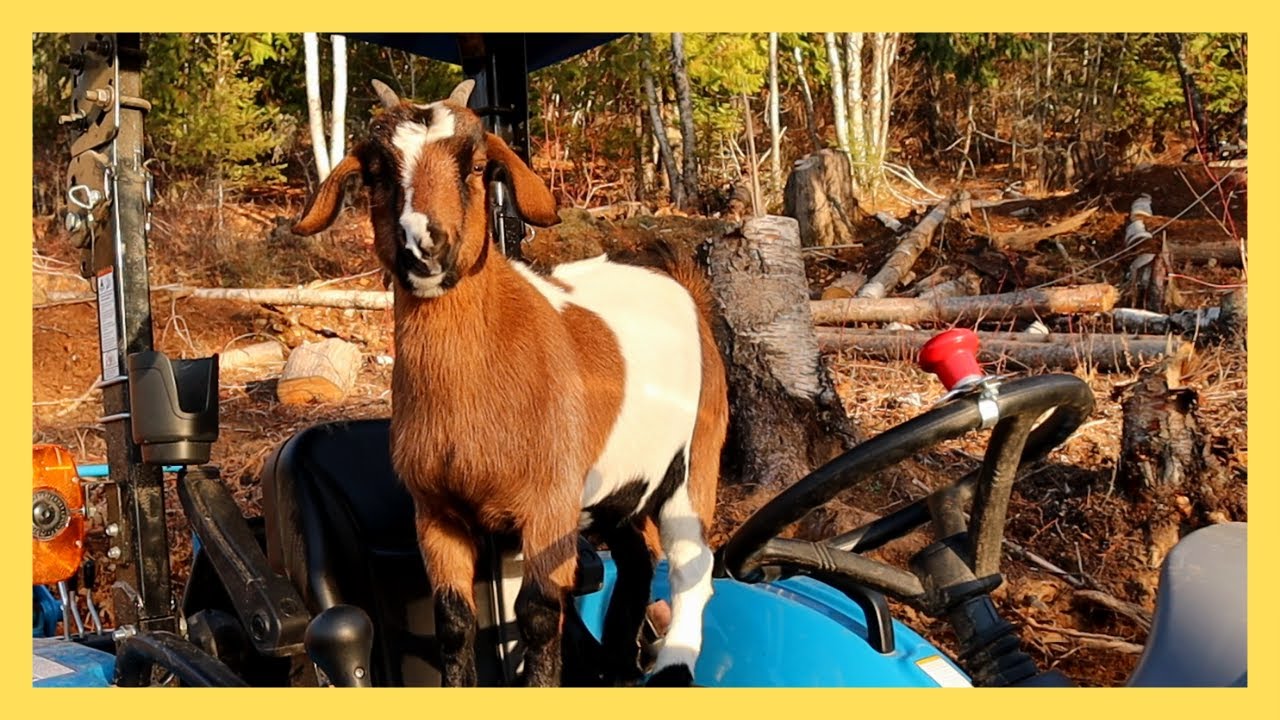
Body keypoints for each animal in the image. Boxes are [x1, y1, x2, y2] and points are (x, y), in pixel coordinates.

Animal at [292, 79, 728, 687]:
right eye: (375, 172)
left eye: (477, 166)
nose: (423, 244)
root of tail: (684, 287)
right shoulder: (437, 513)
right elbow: (454, 621)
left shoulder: (548, 505)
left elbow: (540, 615)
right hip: (622, 488)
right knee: (639, 559)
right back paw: (620, 664)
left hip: (696, 457)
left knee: (693, 567)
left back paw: (672, 666)